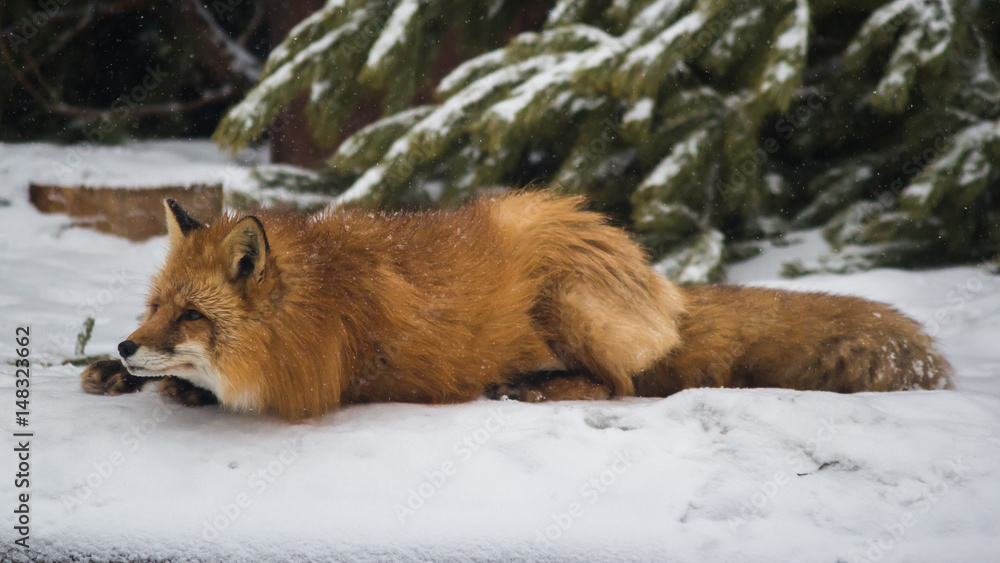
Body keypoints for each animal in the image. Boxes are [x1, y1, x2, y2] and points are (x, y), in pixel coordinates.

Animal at [81, 191, 953, 420]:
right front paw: (107, 369)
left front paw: (172, 384)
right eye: (153, 307)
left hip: (562, 296)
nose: (125, 344)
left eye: (192, 316)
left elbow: (202, 384)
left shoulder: (311, 381)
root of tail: (663, 283)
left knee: (625, 387)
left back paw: (535, 386)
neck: (321, 297)